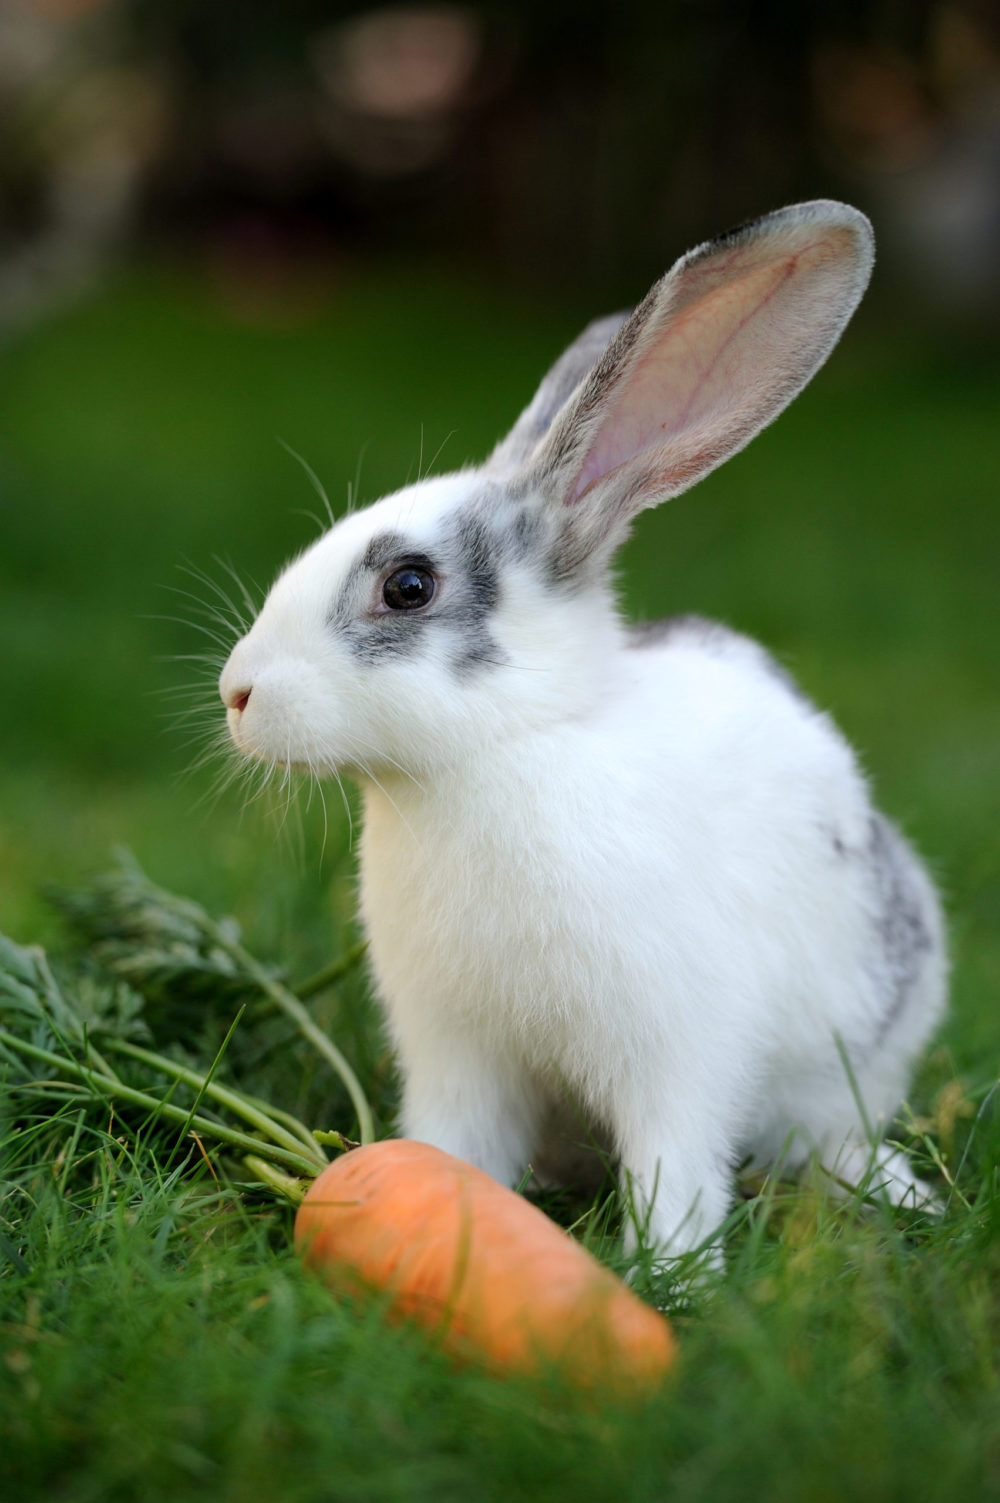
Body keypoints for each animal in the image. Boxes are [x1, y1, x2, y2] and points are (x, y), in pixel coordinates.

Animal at [219, 200, 947, 1262]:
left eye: (408, 585)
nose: (236, 691)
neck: (504, 752)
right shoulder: (457, 1056)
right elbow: (452, 1146)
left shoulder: (674, 1051)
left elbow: (674, 1165)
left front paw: (669, 1274)